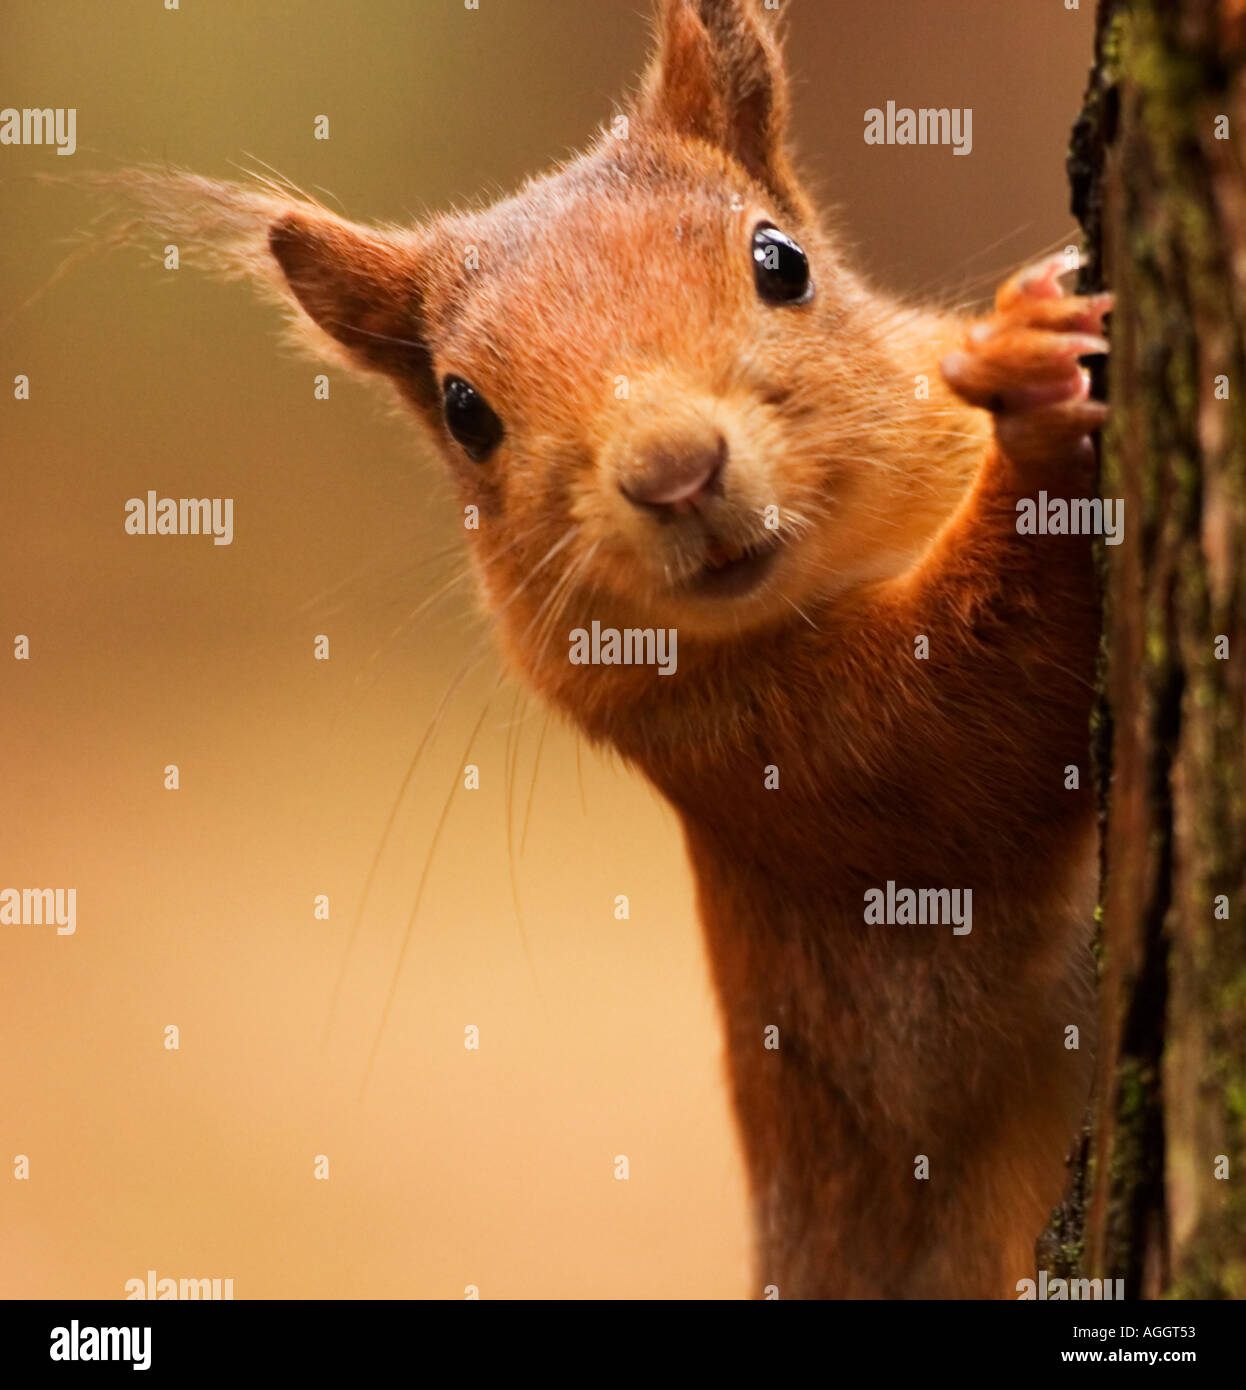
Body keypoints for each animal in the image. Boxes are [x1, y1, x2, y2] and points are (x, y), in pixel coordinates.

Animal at [79, 0, 1110, 1297]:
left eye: (780, 261)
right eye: (465, 410)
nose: (675, 471)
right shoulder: (805, 769)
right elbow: (985, 722)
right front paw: (1033, 397)